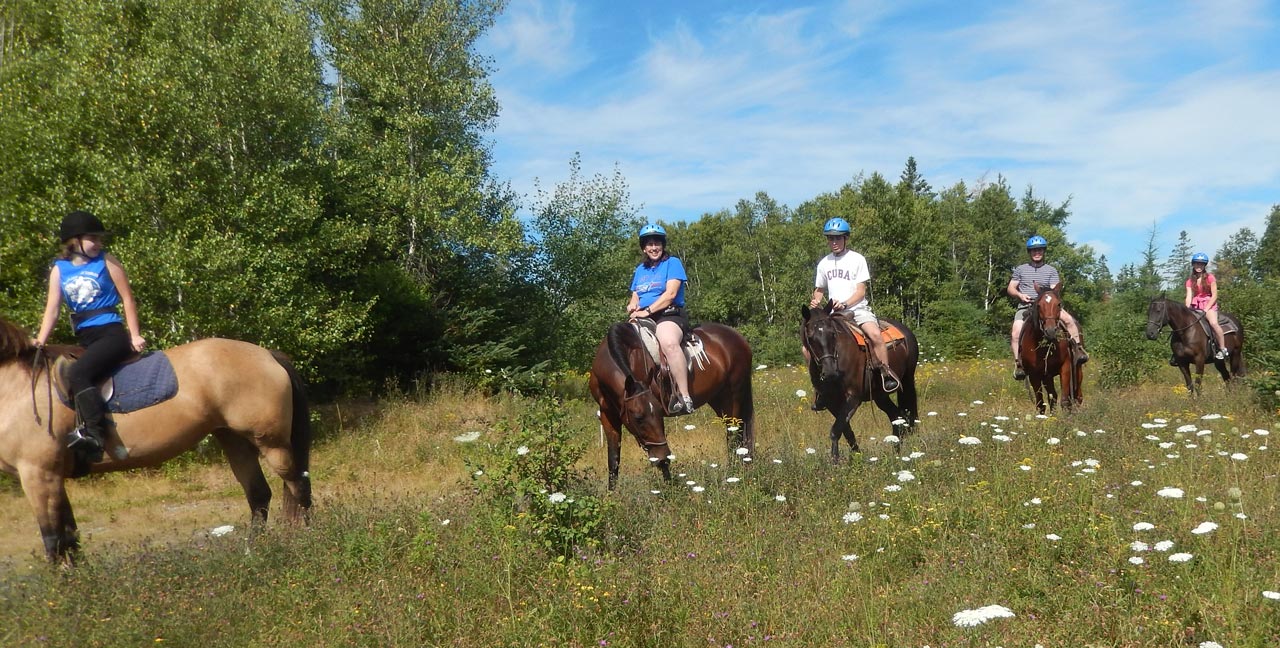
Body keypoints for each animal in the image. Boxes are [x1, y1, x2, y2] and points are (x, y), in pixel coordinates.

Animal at [0, 316, 312, 563]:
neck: (17, 388)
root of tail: (267, 354)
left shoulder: (39, 476)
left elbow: (54, 540)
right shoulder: (52, 478)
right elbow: (69, 538)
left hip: (272, 443)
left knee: (298, 486)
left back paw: (306, 540)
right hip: (234, 440)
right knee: (259, 495)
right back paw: (253, 552)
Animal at [589, 321, 755, 489]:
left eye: (656, 411)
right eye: (638, 418)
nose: (661, 456)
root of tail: (737, 336)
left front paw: (670, 489)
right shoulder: (608, 415)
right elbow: (613, 460)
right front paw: (612, 494)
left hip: (732, 397)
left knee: (734, 436)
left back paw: (734, 475)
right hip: (718, 399)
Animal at [800, 304, 919, 462]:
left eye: (833, 334)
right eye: (811, 338)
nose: (830, 372)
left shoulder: (854, 398)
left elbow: (836, 430)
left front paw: (835, 461)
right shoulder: (830, 402)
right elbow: (846, 431)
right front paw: (857, 457)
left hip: (908, 380)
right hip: (880, 395)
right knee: (897, 417)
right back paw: (896, 452)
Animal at [1018, 285, 1083, 414]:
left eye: (1058, 304)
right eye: (1039, 305)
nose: (1051, 331)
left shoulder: (1065, 367)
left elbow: (1065, 401)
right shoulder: (1034, 375)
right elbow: (1040, 404)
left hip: (1077, 368)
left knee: (1078, 396)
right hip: (1047, 377)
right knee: (1052, 397)